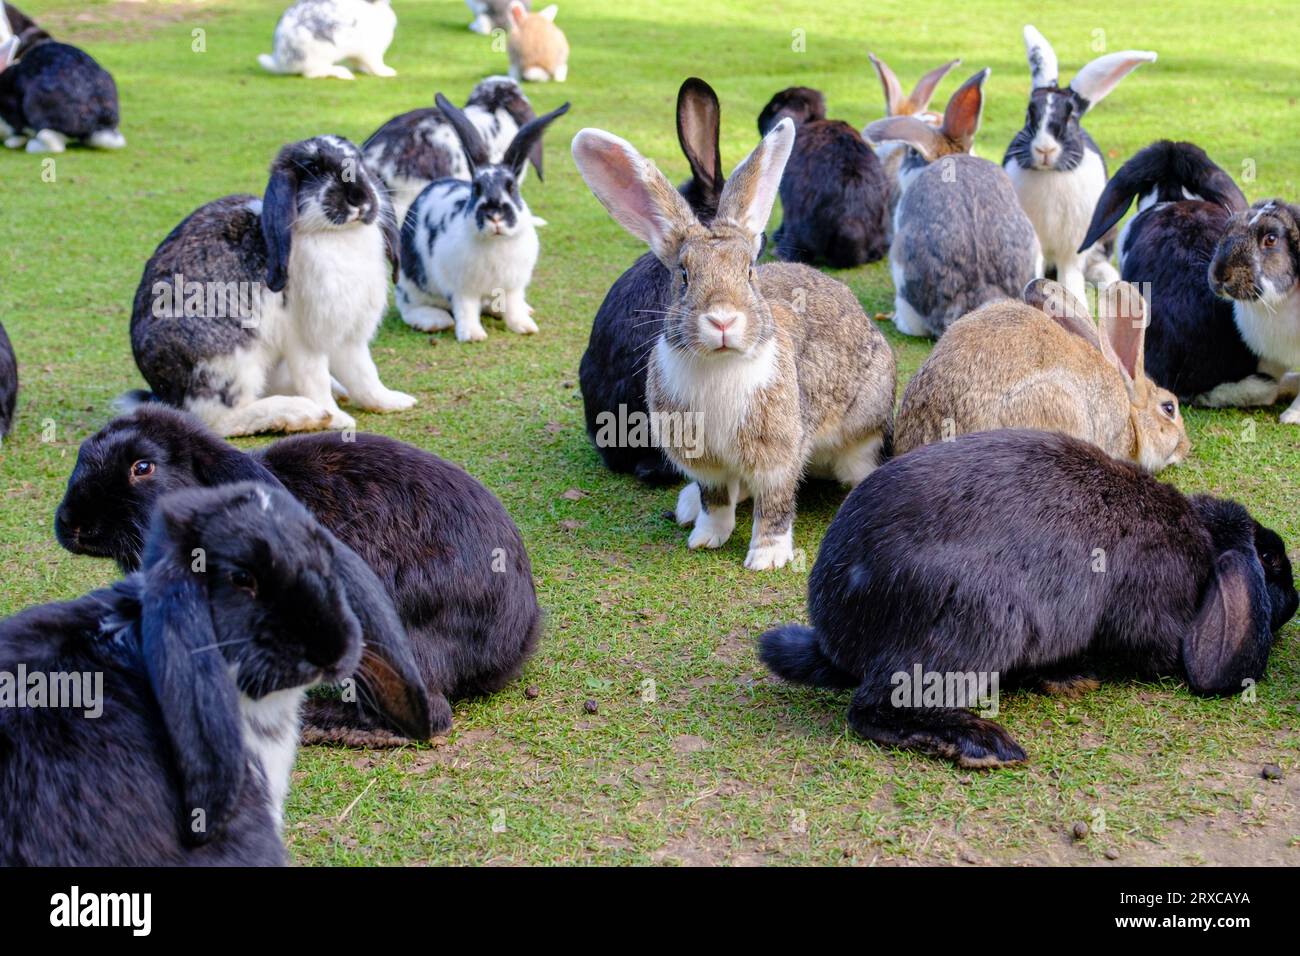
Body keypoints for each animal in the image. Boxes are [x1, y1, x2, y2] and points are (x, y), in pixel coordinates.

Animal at [129, 136, 414, 438]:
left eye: (359, 161)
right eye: (313, 167)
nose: (359, 198)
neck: (335, 235)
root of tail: (164, 394)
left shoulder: (348, 336)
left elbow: (364, 374)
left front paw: (394, 401)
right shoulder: (303, 336)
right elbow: (314, 378)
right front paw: (337, 419)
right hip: (231, 360)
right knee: (220, 419)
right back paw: (302, 415)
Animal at [258, 0, 396, 80]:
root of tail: (282, 62)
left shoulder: (357, 54)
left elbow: (359, 63)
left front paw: (365, 71)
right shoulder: (371, 52)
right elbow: (376, 64)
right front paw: (388, 72)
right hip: (319, 54)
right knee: (311, 73)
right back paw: (343, 73)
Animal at [397, 94, 569, 342]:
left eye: (512, 187)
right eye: (477, 188)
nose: (495, 215)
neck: (496, 243)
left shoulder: (513, 286)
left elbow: (513, 306)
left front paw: (524, 327)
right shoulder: (463, 288)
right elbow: (466, 309)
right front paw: (473, 335)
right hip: (411, 284)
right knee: (408, 307)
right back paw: (434, 321)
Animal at [759, 429, 1298, 768]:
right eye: (1271, 560)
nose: (1294, 600)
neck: (1204, 544)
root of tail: (836, 633)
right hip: (981, 618)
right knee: (871, 708)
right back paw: (982, 745)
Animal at [1003, 25, 1156, 303]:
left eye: (1071, 117)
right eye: (1029, 114)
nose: (1045, 149)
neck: (1050, 174)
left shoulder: (1074, 243)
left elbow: (1070, 274)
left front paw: (1076, 301)